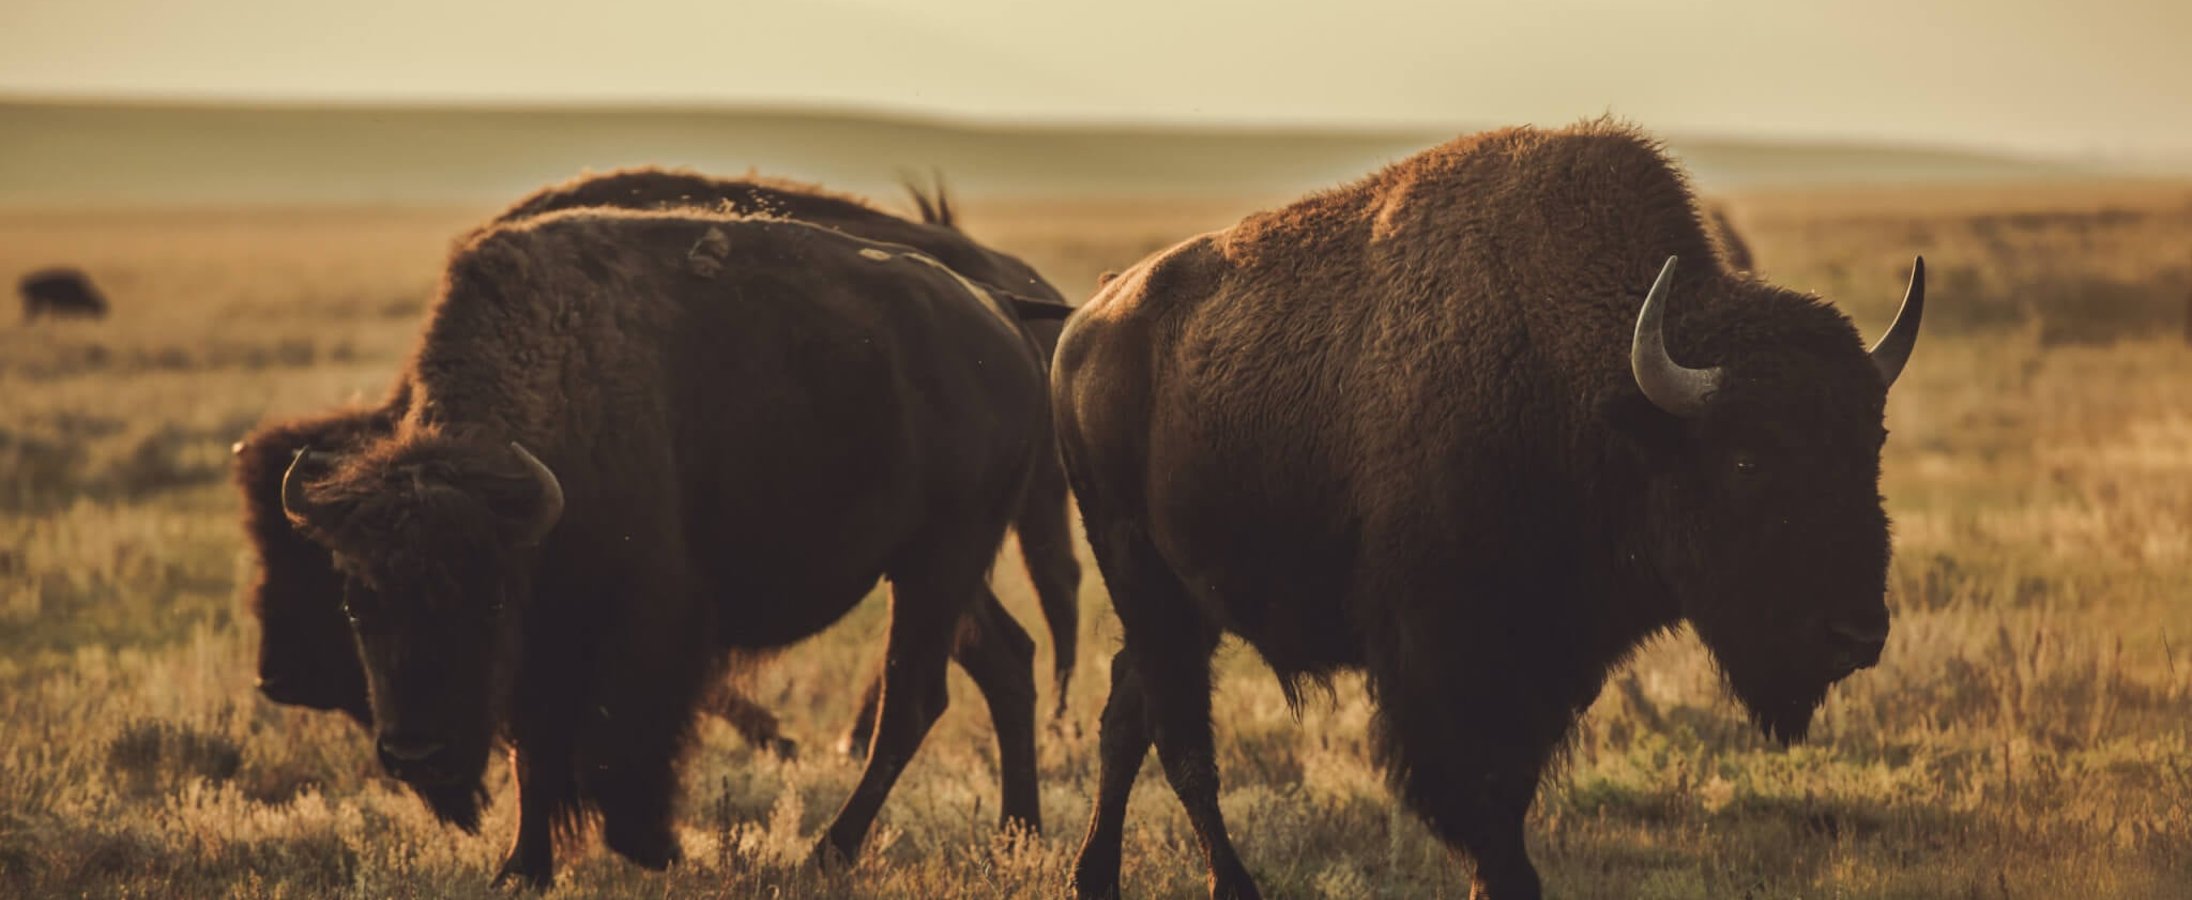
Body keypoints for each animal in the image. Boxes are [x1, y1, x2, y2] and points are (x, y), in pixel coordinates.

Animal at [278, 208, 1069, 886]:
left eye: (487, 603)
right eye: (355, 606)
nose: (415, 753)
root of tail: (1000, 313)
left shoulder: (644, 624)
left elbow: (615, 743)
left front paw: (651, 847)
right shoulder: (545, 647)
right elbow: (533, 752)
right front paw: (521, 870)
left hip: (940, 561)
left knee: (912, 700)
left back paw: (827, 854)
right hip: (936, 571)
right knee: (1006, 660)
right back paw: (1018, 836)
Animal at [1052, 122, 1923, 899]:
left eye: (1869, 448)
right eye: (1746, 459)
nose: (1856, 634)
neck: (1585, 386)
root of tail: (1084, 326)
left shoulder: (1545, 664)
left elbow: (1508, 798)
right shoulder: (1442, 666)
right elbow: (1486, 816)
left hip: (1184, 604)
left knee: (1129, 715)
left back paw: (1093, 878)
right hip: (1144, 581)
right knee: (1179, 738)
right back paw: (1228, 886)